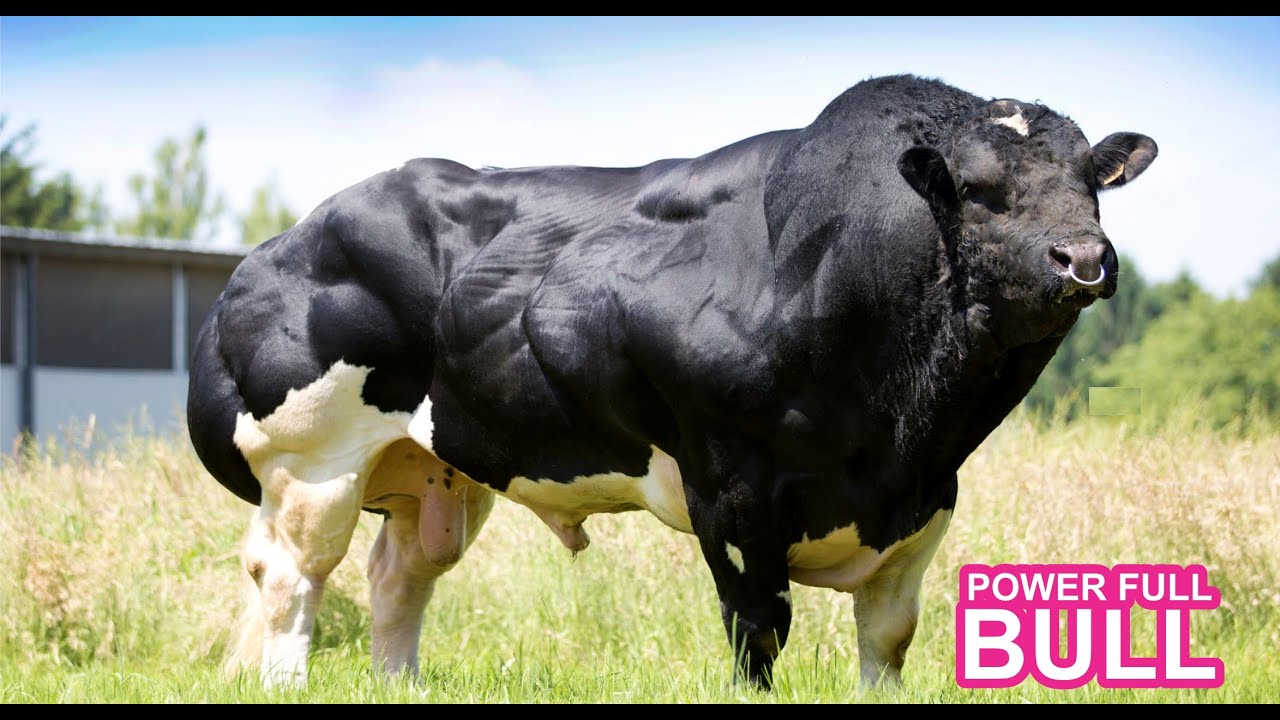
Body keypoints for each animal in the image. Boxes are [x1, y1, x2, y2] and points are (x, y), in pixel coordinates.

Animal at [186, 74, 1156, 690]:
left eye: (1093, 183)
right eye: (979, 187)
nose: (1084, 259)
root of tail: (280, 245)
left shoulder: (925, 503)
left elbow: (888, 640)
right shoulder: (731, 489)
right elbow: (758, 628)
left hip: (440, 468)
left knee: (398, 576)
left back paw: (402, 684)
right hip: (312, 462)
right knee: (292, 576)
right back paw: (286, 681)